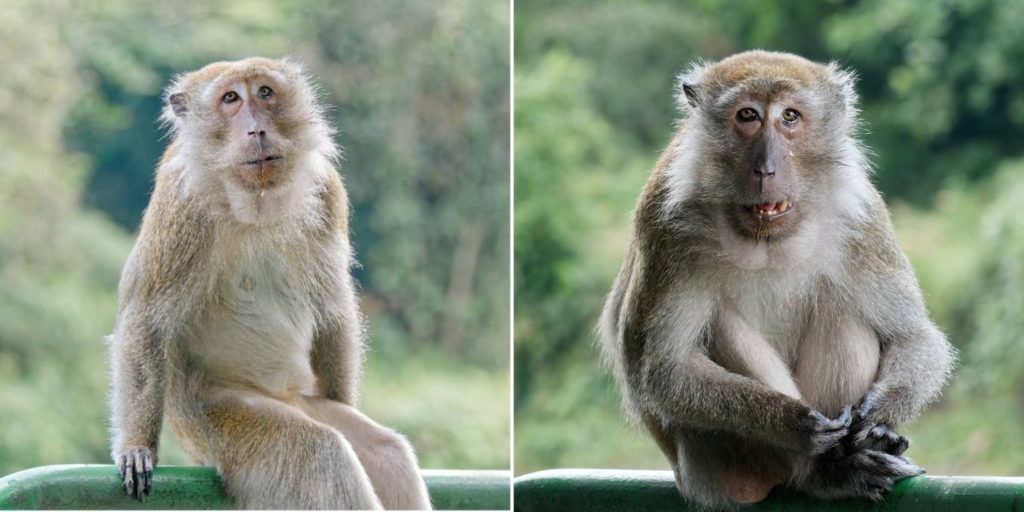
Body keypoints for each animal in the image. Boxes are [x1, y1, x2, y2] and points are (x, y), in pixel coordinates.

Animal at [108, 57, 432, 510]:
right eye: (230, 99)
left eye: (264, 93)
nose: (256, 130)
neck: (255, 199)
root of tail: (287, 399)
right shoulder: (180, 201)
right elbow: (148, 318)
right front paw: (137, 447)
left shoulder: (327, 189)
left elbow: (332, 306)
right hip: (220, 422)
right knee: (320, 453)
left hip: (304, 402)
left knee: (385, 452)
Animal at [599, 51, 955, 508]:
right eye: (747, 115)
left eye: (790, 117)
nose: (766, 168)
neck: (767, 237)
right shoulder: (666, 224)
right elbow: (663, 372)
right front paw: (794, 423)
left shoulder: (863, 220)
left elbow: (914, 337)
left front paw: (877, 417)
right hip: (721, 465)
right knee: (720, 325)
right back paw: (821, 472)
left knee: (843, 308)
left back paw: (857, 456)